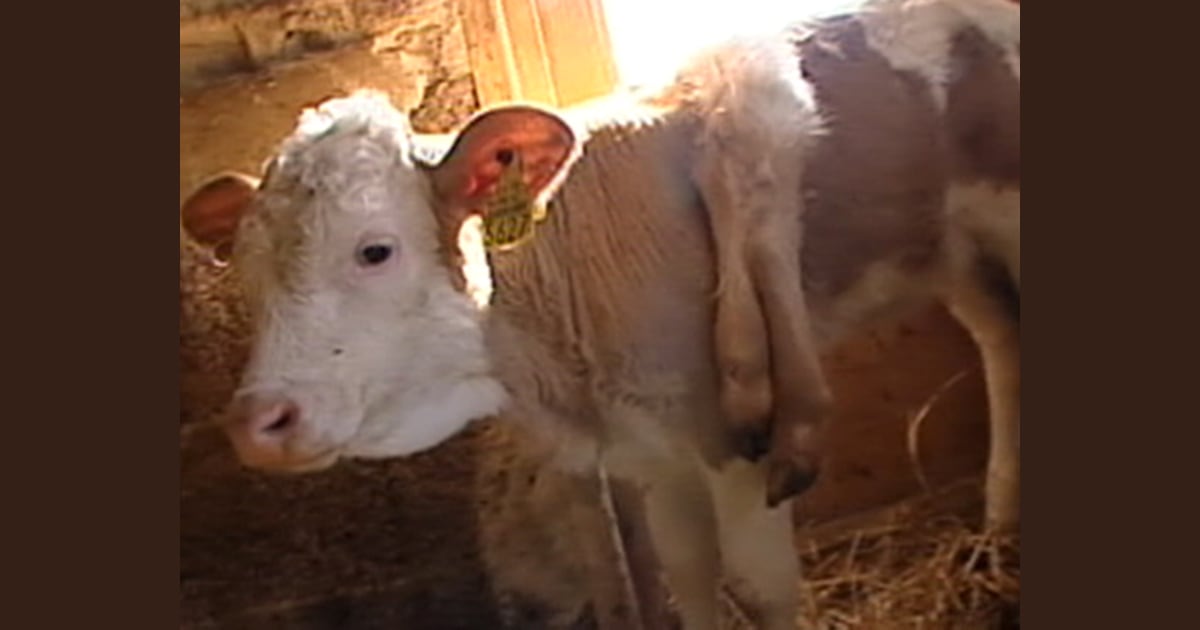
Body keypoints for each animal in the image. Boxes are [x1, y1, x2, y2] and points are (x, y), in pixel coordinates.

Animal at [179, 1, 1019, 628]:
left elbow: (758, 587)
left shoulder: (729, 440)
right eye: (247, 270)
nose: (259, 422)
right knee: (999, 339)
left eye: (375, 250)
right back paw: (1000, 523)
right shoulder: (653, 448)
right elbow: (689, 575)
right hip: (956, 251)